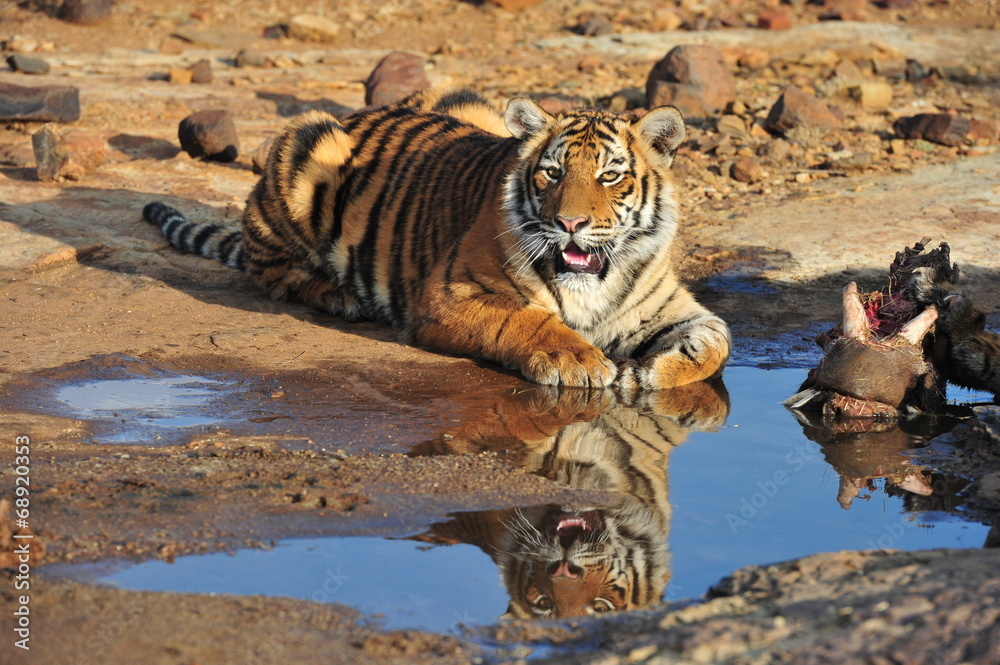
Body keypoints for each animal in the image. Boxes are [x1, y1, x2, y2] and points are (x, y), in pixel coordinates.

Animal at [142, 88, 730, 390]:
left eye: (610, 176)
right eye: (553, 173)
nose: (570, 224)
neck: (594, 284)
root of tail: (356, 113)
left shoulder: (669, 306)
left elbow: (716, 342)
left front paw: (651, 372)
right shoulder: (449, 295)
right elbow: (527, 320)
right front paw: (579, 362)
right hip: (306, 142)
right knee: (274, 271)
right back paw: (341, 296)